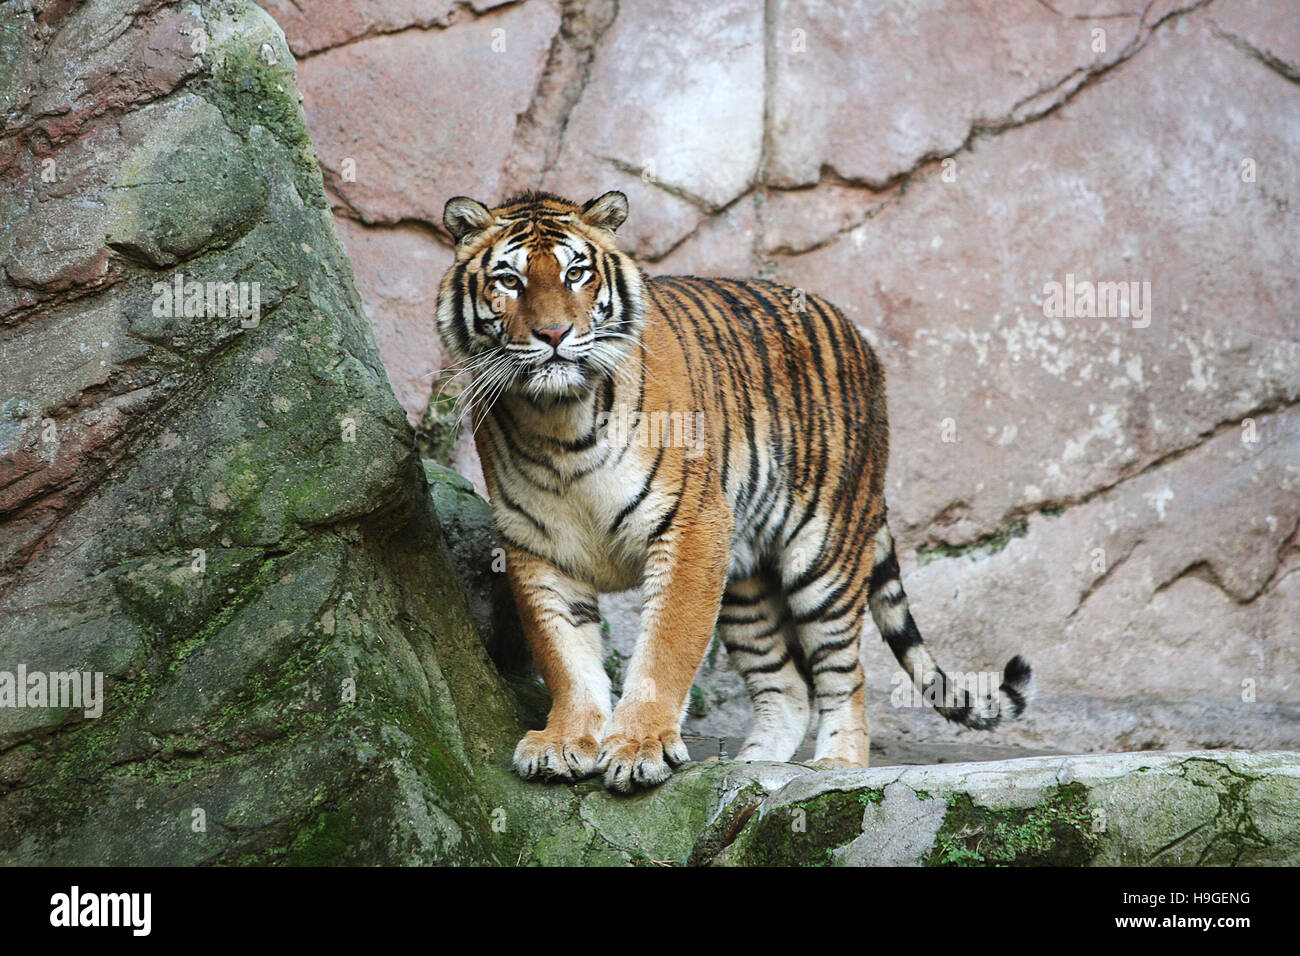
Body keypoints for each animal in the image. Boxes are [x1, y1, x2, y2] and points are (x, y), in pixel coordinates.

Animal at [435, 188, 1031, 793]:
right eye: (509, 281)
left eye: (576, 273)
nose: (554, 335)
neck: (558, 420)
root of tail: (857, 336)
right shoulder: (537, 545)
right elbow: (565, 657)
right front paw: (563, 741)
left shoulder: (690, 526)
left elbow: (665, 648)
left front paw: (639, 747)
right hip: (744, 580)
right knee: (787, 687)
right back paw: (751, 768)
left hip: (825, 556)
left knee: (845, 674)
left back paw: (836, 765)